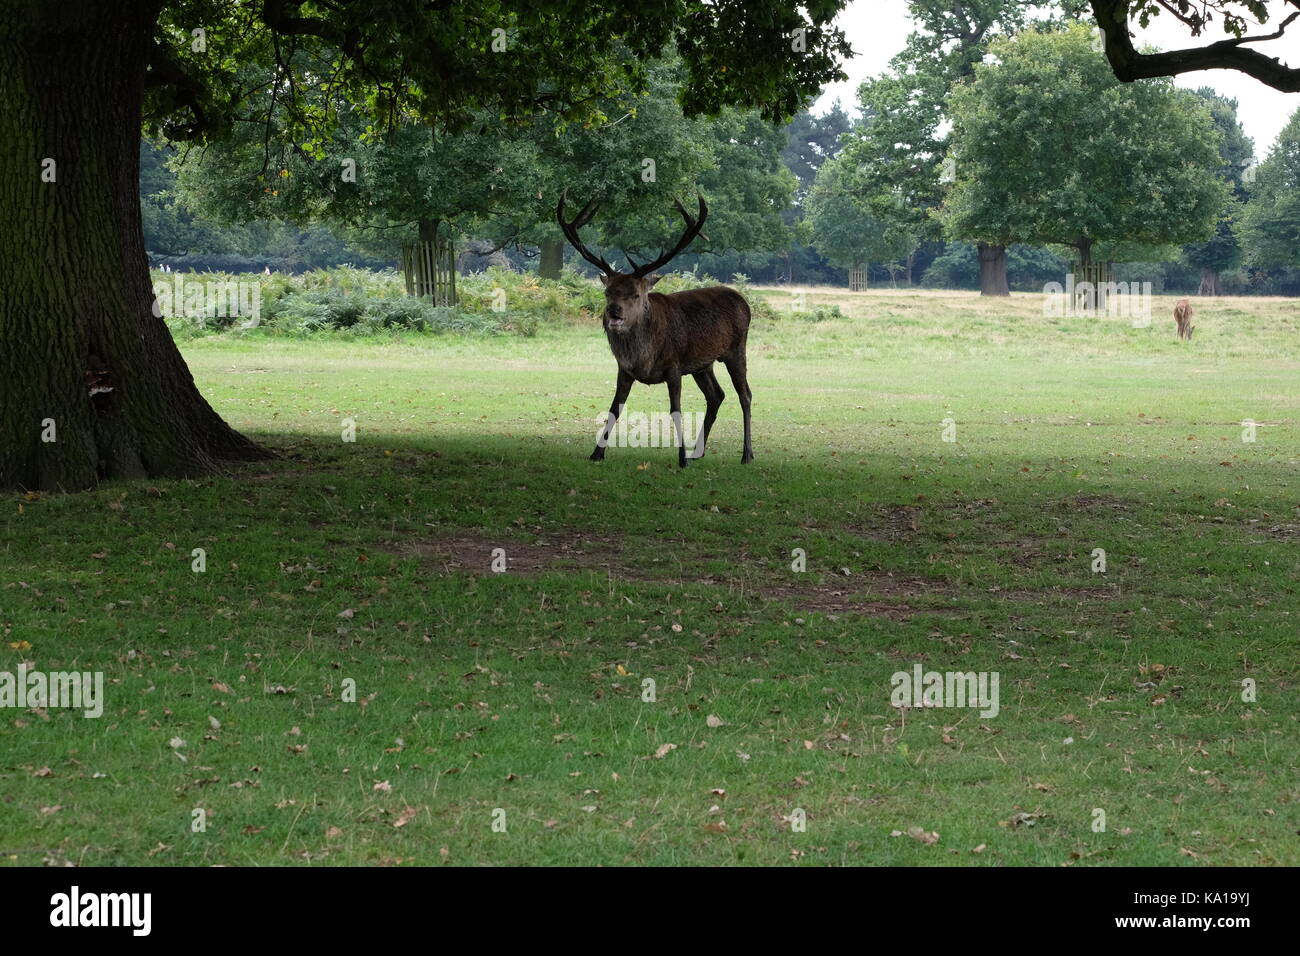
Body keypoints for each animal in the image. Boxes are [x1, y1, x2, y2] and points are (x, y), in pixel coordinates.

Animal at [557, 193, 753, 468]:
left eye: (635, 294)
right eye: (607, 292)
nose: (614, 312)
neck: (644, 357)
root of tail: (744, 302)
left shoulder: (674, 366)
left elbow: (676, 410)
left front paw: (681, 459)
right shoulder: (624, 370)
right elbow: (614, 408)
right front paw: (597, 452)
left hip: (736, 349)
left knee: (745, 394)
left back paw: (746, 454)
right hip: (702, 365)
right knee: (717, 395)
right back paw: (698, 451)